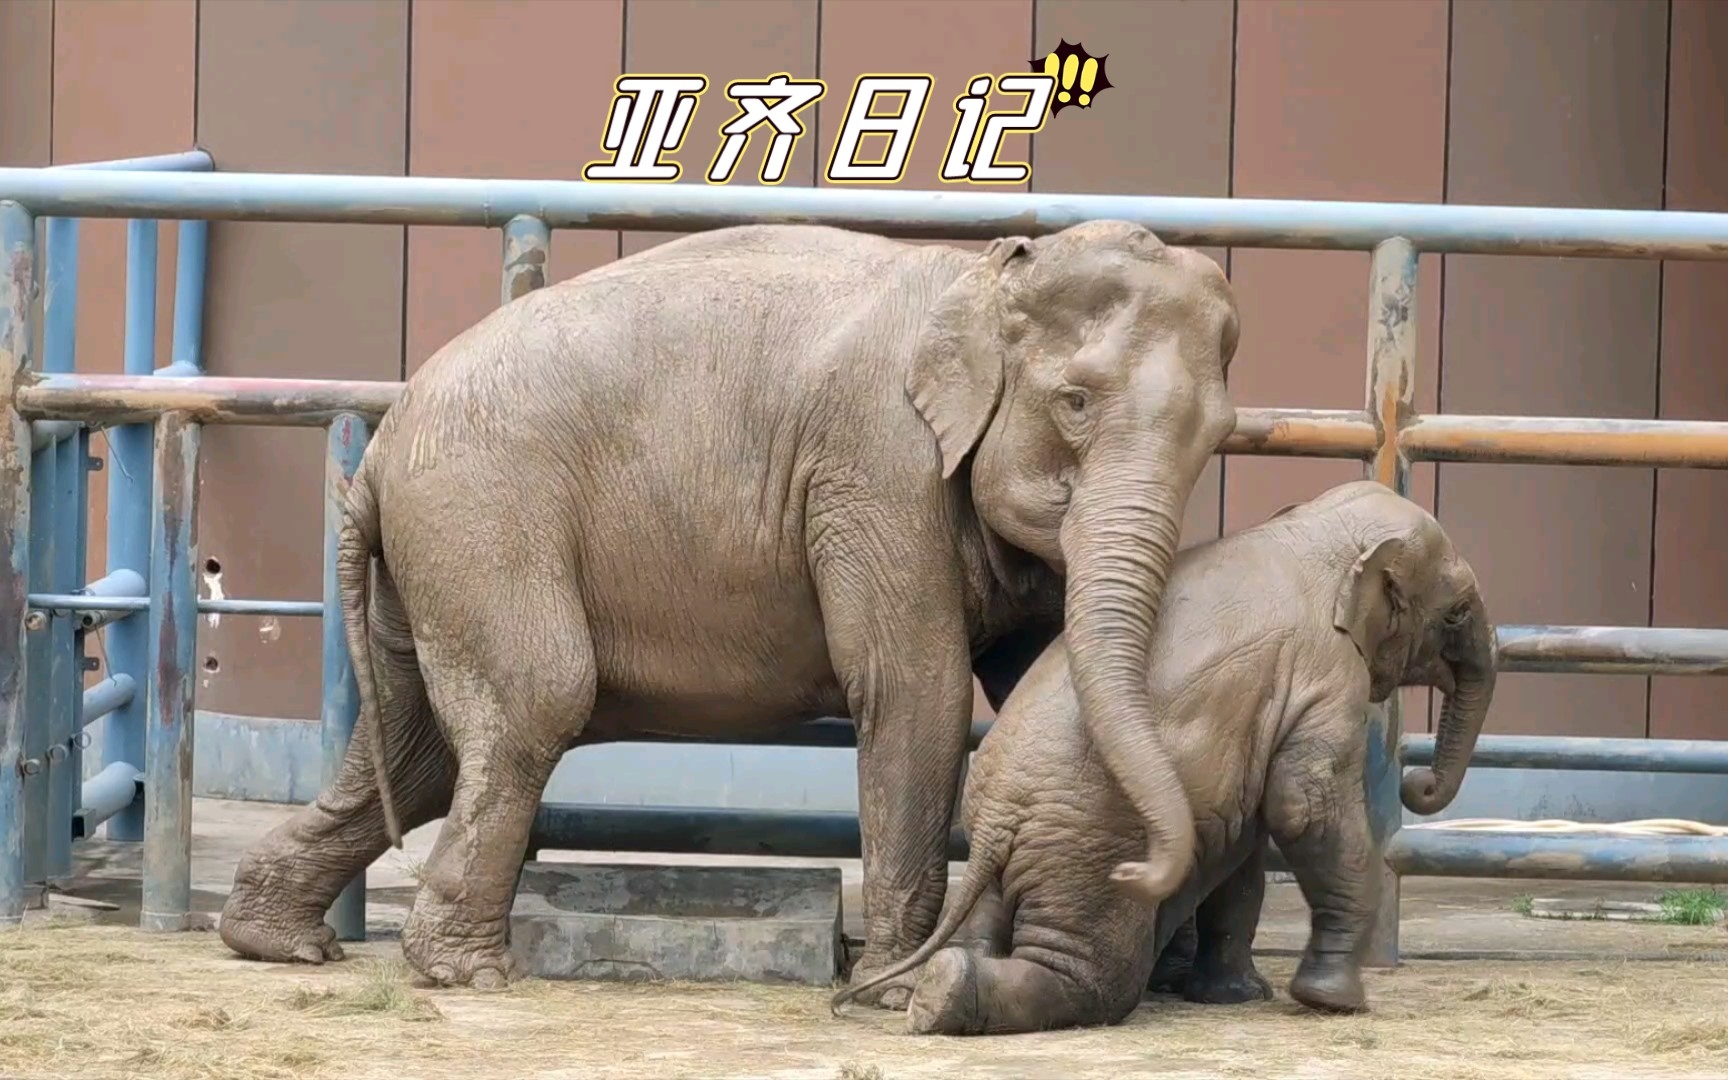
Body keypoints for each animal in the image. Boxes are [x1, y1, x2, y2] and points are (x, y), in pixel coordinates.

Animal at [216, 219, 1242, 1000]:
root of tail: (381, 449)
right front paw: (895, 991)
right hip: (481, 516)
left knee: (416, 746)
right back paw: (468, 975)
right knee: (533, 704)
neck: (986, 273)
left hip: (434, 548)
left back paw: (280, 943)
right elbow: (917, 690)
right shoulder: (877, 466)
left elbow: (1036, 676)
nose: (1141, 871)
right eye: (1075, 401)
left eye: (1220, 437)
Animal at [833, 479, 1497, 1034]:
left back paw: (938, 993)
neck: (1316, 530)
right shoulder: (1325, 678)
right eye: (1457, 611)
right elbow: (1303, 808)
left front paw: (1237, 997)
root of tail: (998, 822)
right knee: (1095, 977)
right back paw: (947, 992)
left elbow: (1248, 842)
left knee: (984, 936)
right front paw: (1334, 1002)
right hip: (1087, 858)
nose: (1417, 783)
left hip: (1010, 861)